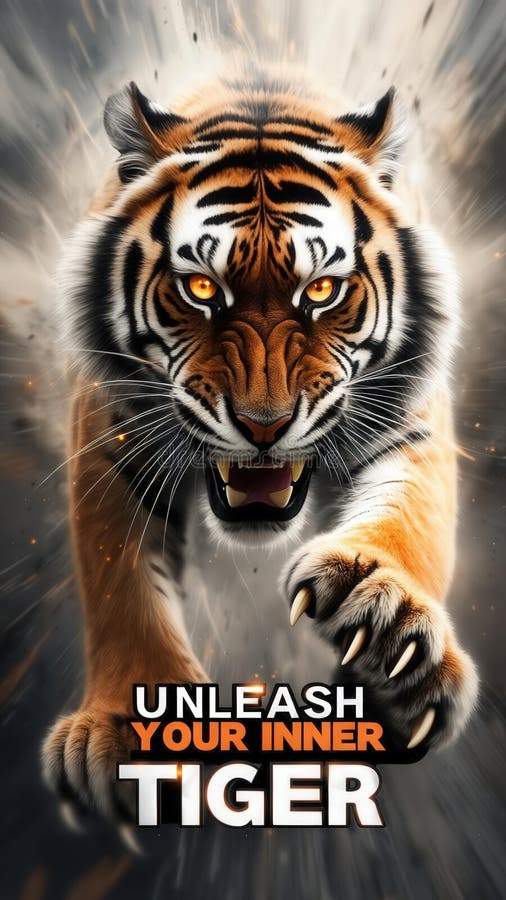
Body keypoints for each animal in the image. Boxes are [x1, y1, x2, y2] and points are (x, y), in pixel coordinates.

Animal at [42, 69, 478, 825]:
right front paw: (126, 727)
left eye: (323, 290)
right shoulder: (108, 433)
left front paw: (389, 628)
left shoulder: (413, 418)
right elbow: (120, 583)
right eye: (200, 288)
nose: (264, 424)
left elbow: (412, 516)